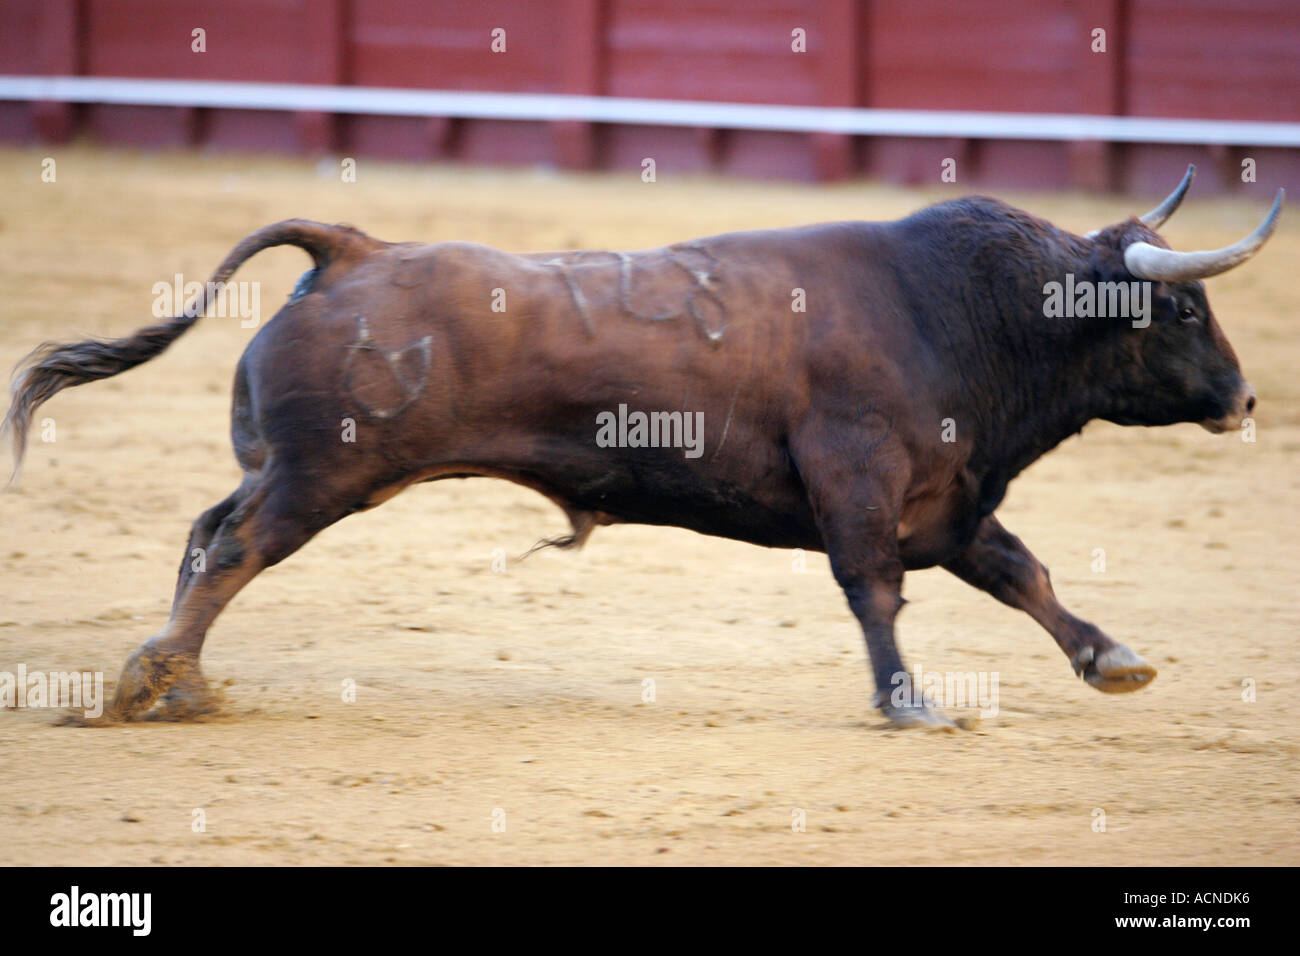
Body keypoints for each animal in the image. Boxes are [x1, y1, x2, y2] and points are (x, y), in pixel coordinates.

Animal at [3, 165, 1281, 727]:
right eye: (1177, 308)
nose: (1244, 398)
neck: (963, 311)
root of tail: (354, 247)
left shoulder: (950, 496)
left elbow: (1025, 571)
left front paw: (1113, 658)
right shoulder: (862, 482)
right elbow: (873, 589)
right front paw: (908, 699)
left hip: (293, 470)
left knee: (207, 531)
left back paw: (171, 674)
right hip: (326, 475)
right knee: (233, 549)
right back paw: (161, 679)